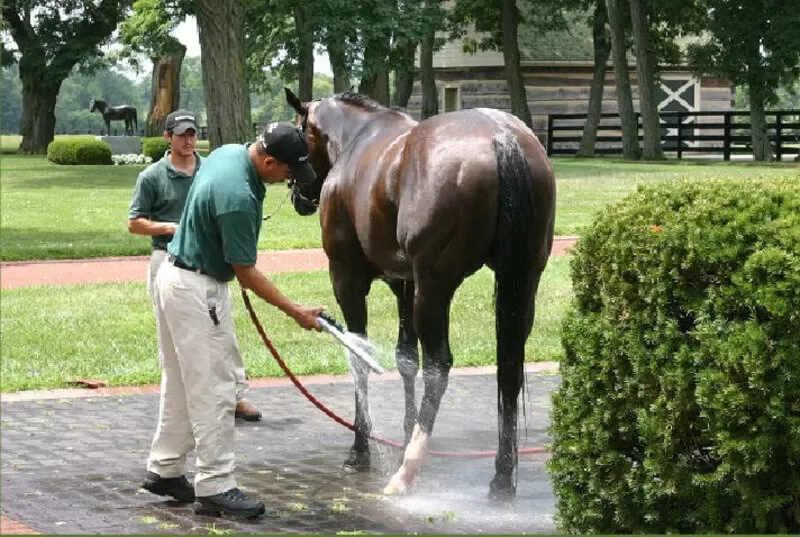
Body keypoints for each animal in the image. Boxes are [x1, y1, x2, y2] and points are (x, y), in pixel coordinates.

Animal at [288, 88, 556, 498]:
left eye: (298, 133)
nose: (298, 196)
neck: (356, 137)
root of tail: (501, 137)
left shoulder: (348, 279)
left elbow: (359, 357)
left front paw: (361, 448)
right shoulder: (405, 283)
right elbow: (405, 358)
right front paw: (402, 432)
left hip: (434, 288)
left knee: (438, 367)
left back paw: (408, 469)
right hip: (521, 280)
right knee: (508, 367)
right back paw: (500, 476)